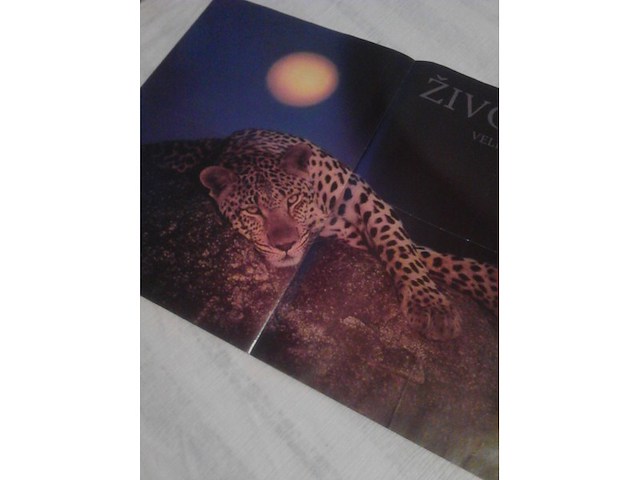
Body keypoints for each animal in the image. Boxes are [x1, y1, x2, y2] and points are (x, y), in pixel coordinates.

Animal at [143, 128, 498, 340]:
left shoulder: (366, 200)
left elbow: (405, 248)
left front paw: (432, 305)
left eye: (293, 201)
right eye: (254, 212)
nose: (285, 245)